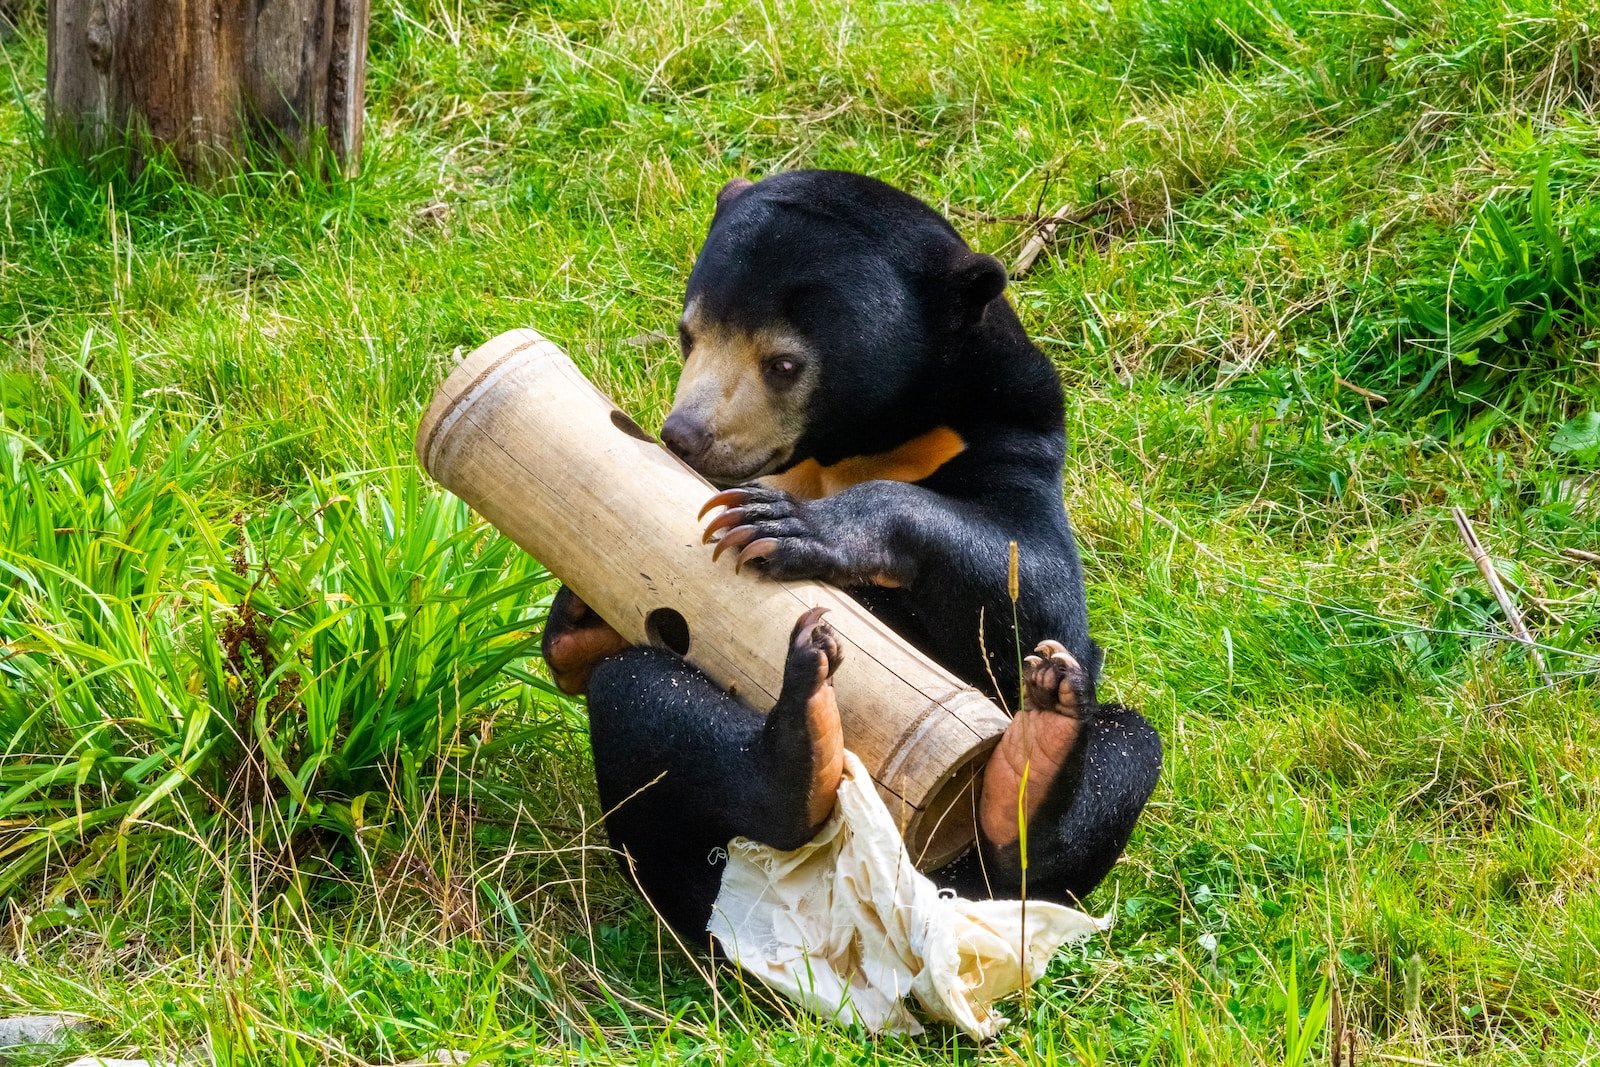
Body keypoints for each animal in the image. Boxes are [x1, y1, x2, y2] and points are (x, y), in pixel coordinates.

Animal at [542, 170, 1163, 944]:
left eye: (782, 364)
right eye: (689, 336)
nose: (684, 435)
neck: (850, 447)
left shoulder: (1013, 434)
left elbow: (1037, 587)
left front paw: (788, 526)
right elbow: (586, 652)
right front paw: (578, 599)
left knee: (1121, 752)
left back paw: (1033, 758)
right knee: (642, 695)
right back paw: (799, 754)